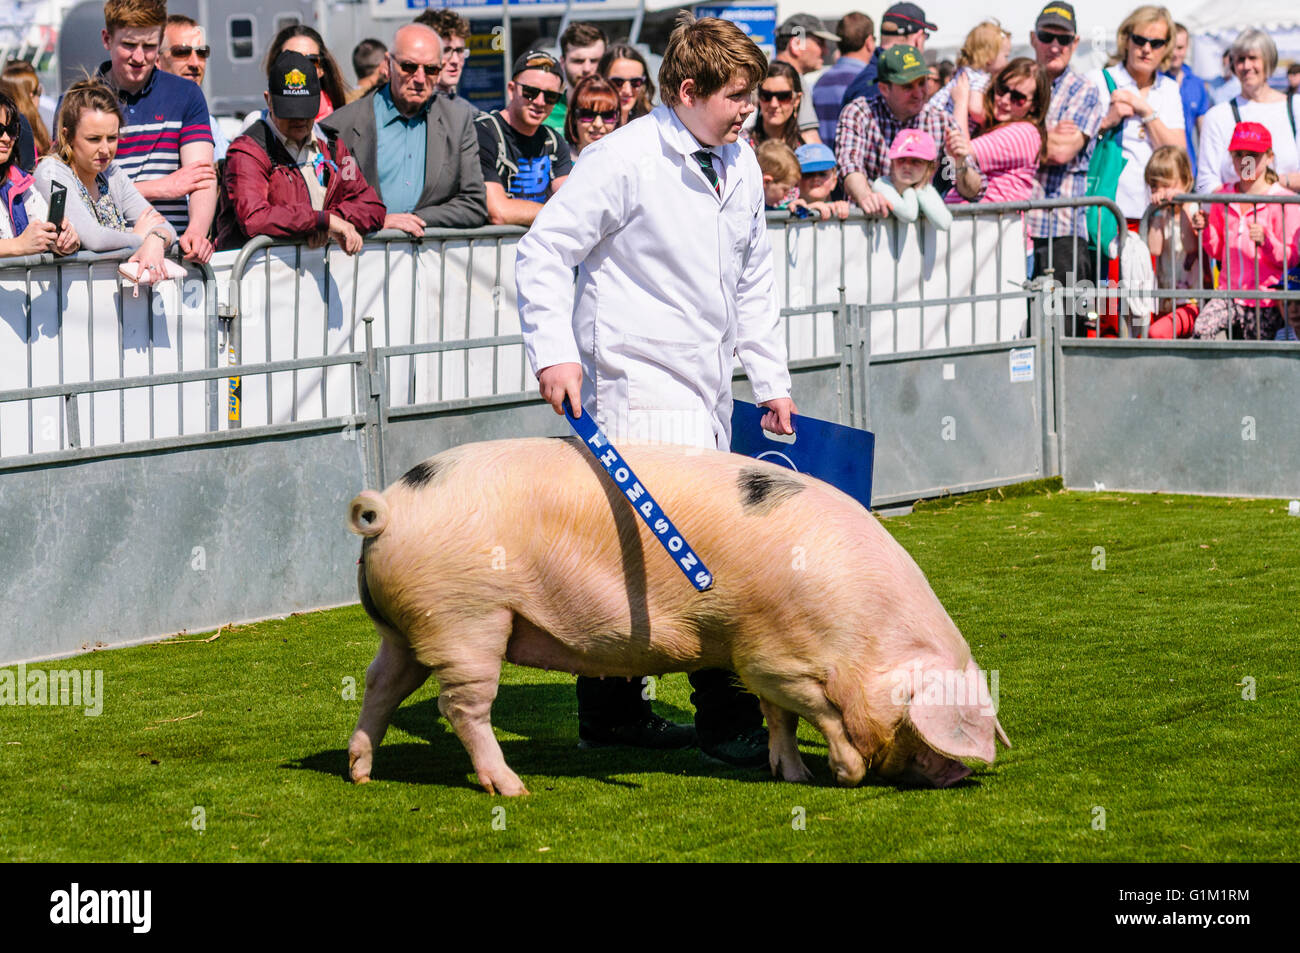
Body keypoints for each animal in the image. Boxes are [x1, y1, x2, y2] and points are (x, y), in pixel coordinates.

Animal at [346, 436, 1010, 795]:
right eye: (924, 727)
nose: (958, 776)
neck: (863, 637)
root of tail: (388, 509)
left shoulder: (764, 656)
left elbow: (779, 717)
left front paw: (790, 776)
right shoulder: (767, 655)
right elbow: (816, 711)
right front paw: (842, 775)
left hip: (405, 627)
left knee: (380, 685)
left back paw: (360, 774)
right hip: (466, 618)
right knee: (459, 706)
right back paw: (514, 788)